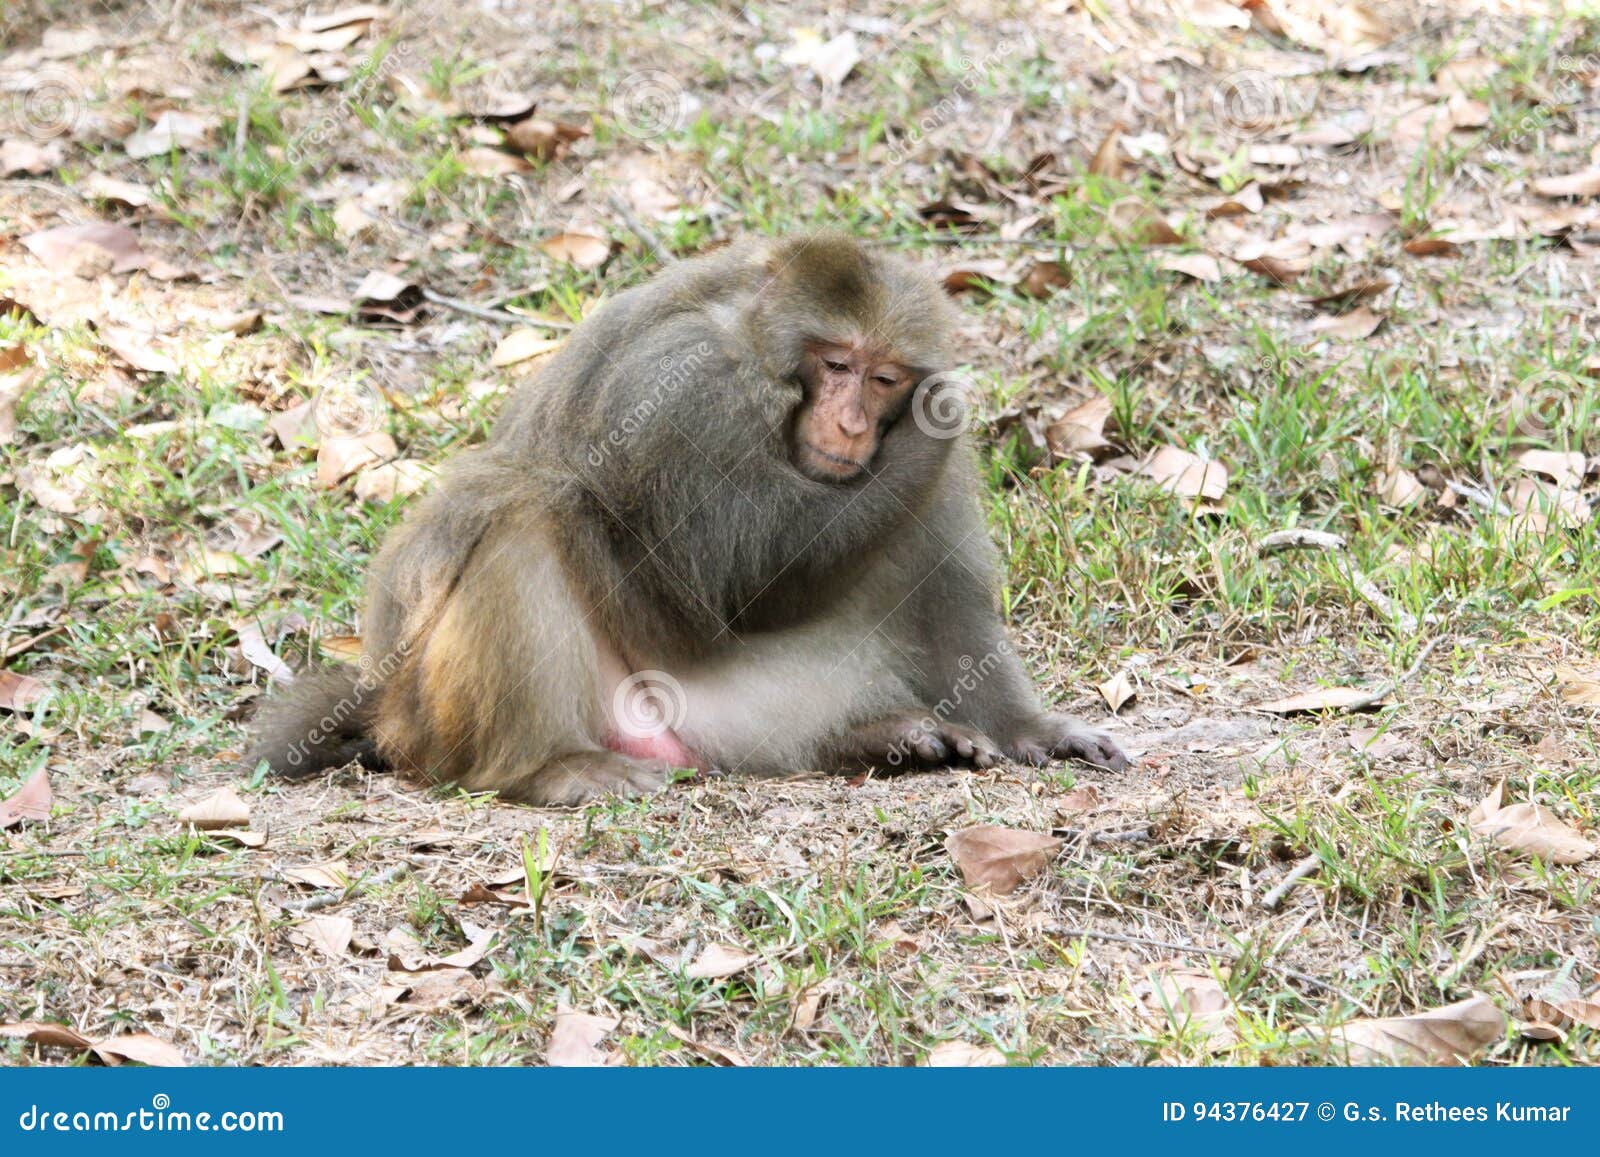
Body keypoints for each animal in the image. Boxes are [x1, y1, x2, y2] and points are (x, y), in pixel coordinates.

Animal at [250, 234, 1128, 806]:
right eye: (835, 364)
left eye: (882, 377)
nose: (852, 425)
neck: (752, 341)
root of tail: (383, 701)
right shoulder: (686, 390)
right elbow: (732, 575)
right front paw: (925, 430)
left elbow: (944, 585)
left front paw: (1030, 729)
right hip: (447, 714)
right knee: (520, 515)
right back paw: (547, 766)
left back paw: (880, 735)